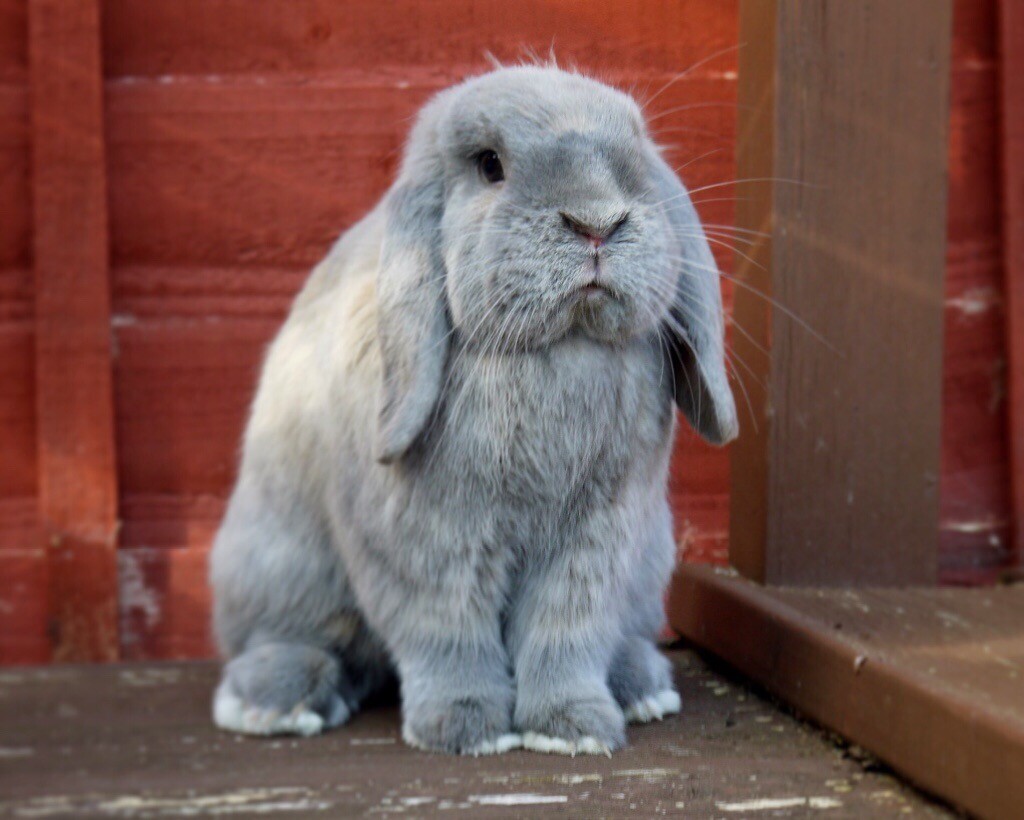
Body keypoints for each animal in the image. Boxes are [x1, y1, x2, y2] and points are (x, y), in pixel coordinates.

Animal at [208, 63, 737, 756]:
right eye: (490, 165)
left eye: (636, 152)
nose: (598, 221)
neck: (556, 349)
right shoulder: (422, 545)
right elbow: (445, 633)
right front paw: (466, 729)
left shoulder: (598, 538)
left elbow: (567, 631)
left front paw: (572, 727)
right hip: (275, 562)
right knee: (293, 638)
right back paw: (273, 701)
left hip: (650, 563)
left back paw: (640, 686)